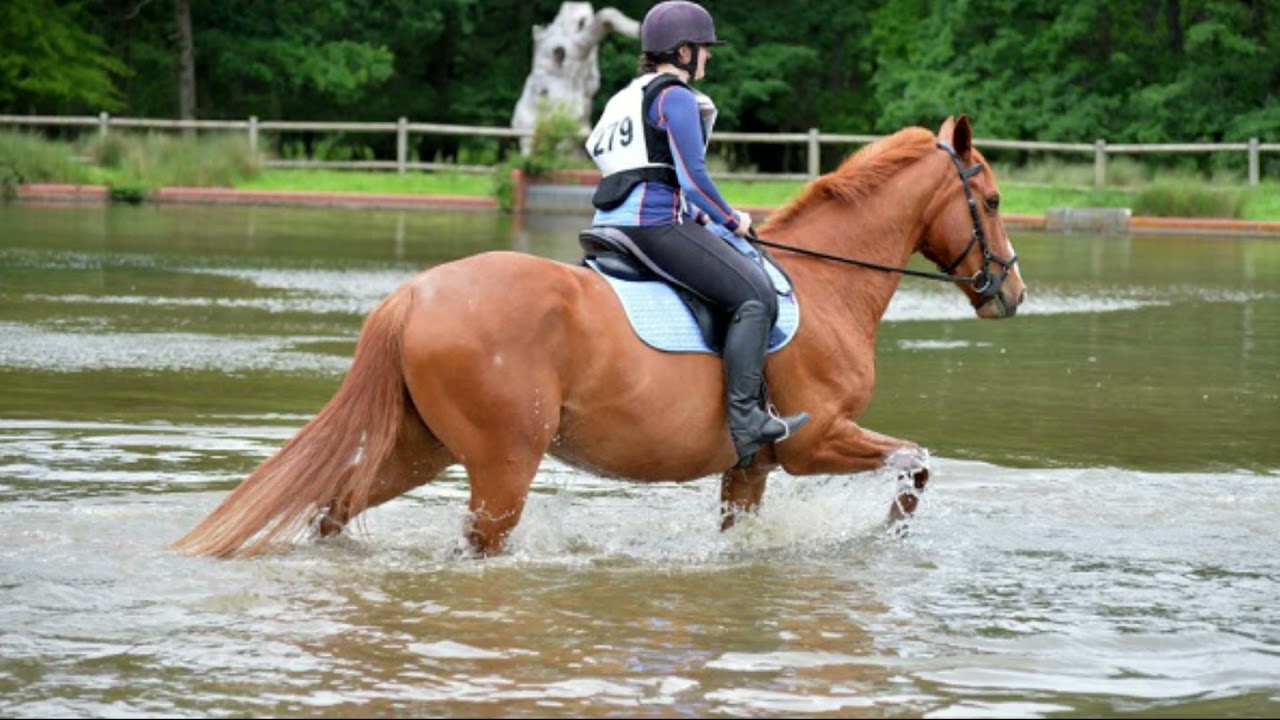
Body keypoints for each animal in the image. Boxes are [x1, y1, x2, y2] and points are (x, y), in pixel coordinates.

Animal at [173, 115, 1026, 559]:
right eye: (989, 198)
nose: (1011, 293)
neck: (825, 283)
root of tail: (414, 296)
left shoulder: (749, 465)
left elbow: (741, 530)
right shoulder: (814, 441)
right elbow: (916, 464)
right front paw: (887, 531)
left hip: (423, 446)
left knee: (335, 507)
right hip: (501, 462)